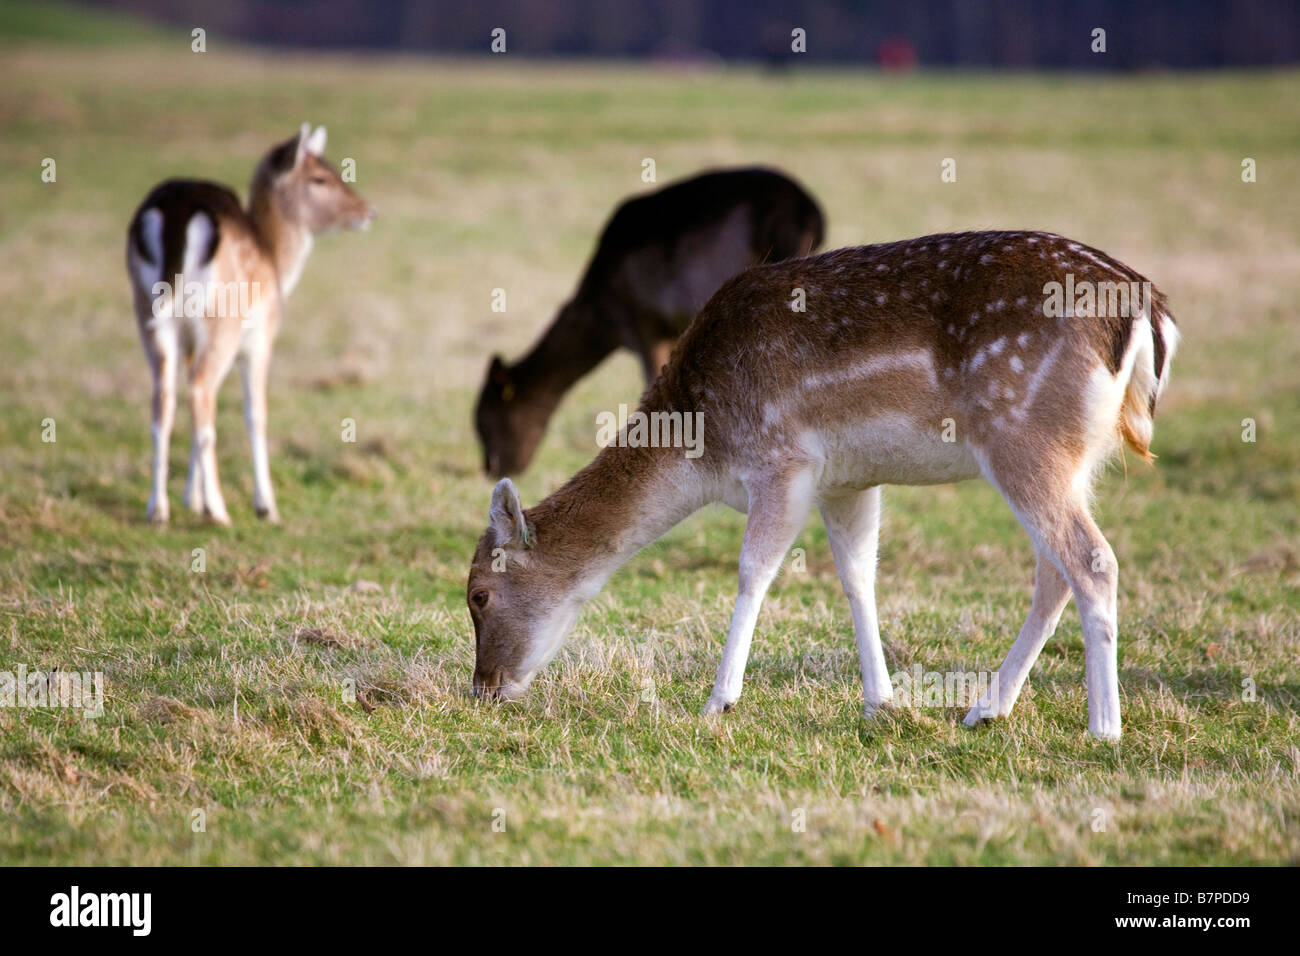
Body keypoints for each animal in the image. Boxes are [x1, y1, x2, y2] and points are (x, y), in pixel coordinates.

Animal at [125, 124, 375, 525]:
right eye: (320, 177)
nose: (368, 211)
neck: (275, 260)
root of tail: (176, 213)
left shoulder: (188, 339)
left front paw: (190, 499)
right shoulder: (261, 338)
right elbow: (255, 413)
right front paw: (265, 506)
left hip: (147, 312)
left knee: (164, 398)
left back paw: (158, 509)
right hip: (222, 321)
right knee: (199, 389)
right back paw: (219, 510)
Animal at [466, 230, 1180, 741]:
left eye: (477, 594)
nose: (483, 689)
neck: (705, 446)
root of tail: (1148, 313)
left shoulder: (783, 460)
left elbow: (754, 570)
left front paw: (718, 702)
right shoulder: (848, 479)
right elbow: (858, 576)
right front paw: (880, 703)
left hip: (1023, 437)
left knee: (1091, 559)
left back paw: (1103, 729)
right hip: (1079, 456)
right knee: (1054, 571)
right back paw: (985, 710)